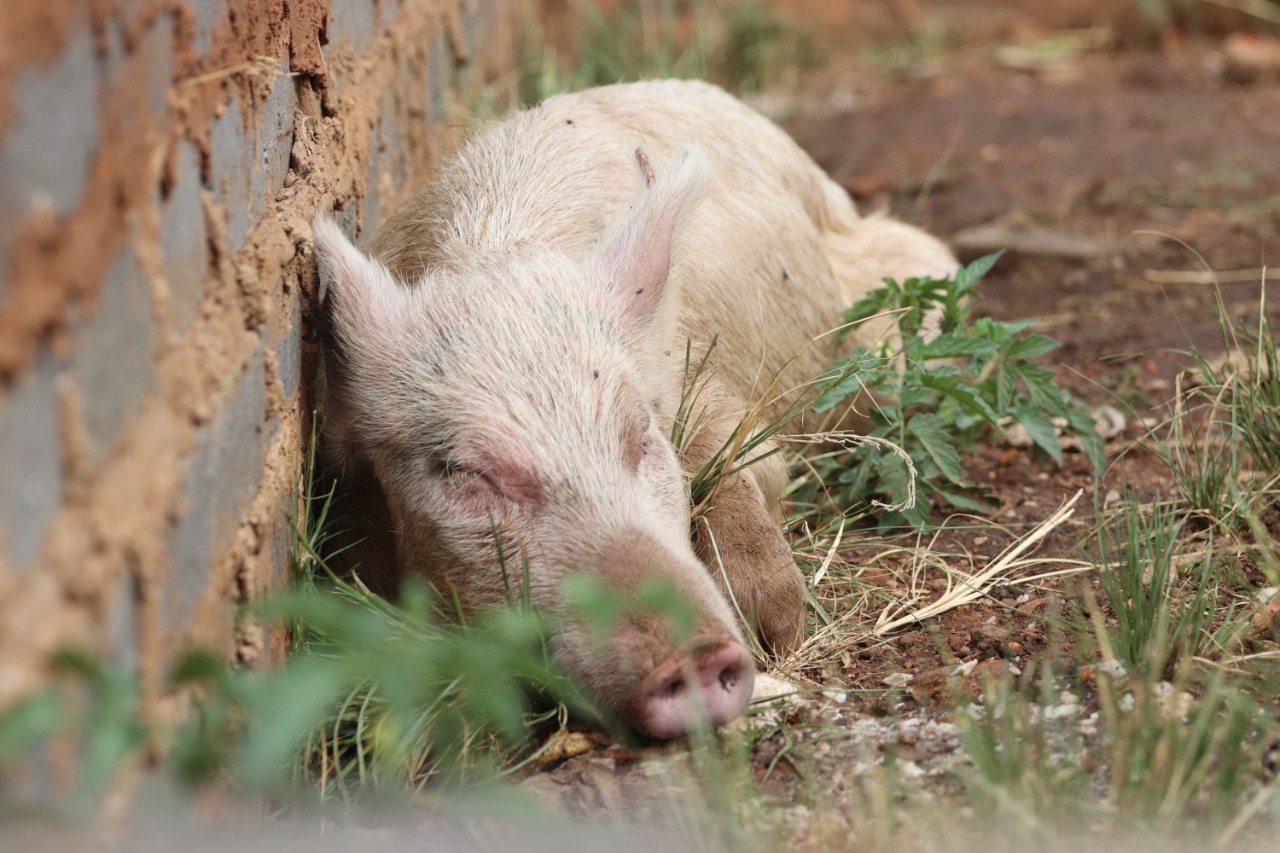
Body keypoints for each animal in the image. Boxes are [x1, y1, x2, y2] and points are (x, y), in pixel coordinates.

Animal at [312, 79, 955, 739]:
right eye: (463, 471)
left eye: (641, 433)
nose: (696, 656)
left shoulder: (705, 381)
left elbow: (743, 459)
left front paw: (774, 629)